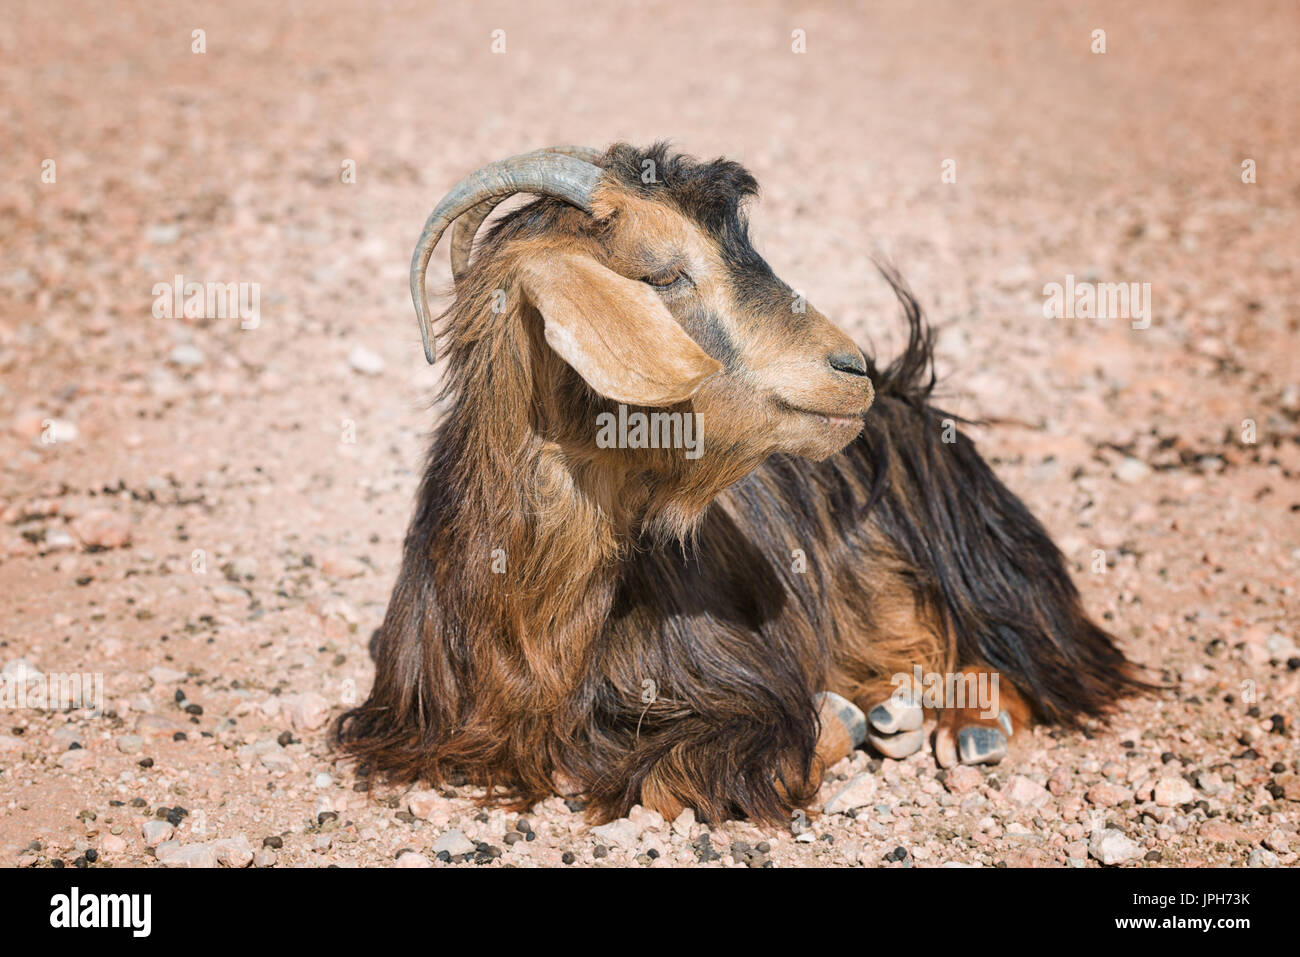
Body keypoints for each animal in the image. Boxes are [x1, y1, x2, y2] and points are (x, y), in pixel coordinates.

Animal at [336, 143, 1146, 825]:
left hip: (988, 574)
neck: (532, 612)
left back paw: (971, 725)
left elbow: (675, 780)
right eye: (665, 273)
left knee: (1042, 655)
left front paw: (838, 720)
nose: (850, 368)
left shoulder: (746, 691)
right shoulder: (422, 728)